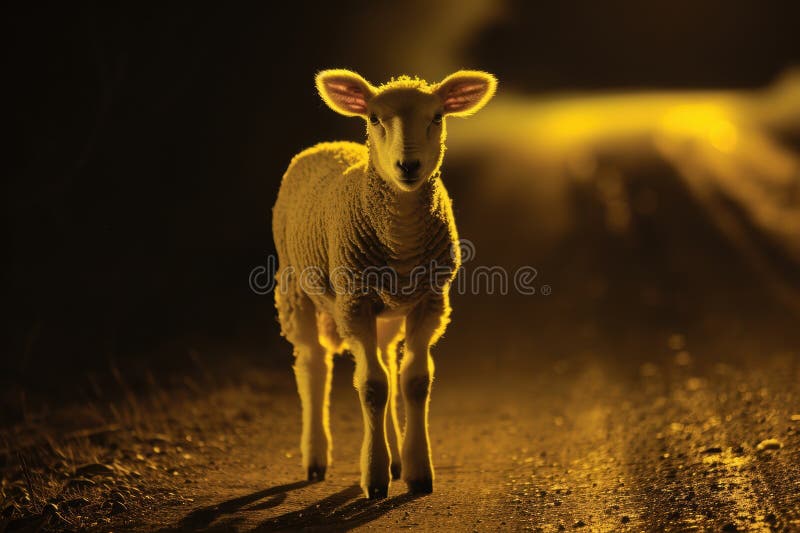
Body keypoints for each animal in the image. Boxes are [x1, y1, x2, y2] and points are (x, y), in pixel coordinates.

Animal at [272, 68, 496, 499]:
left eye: (437, 116)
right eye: (375, 118)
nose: (407, 165)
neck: (401, 236)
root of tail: (328, 144)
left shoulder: (431, 300)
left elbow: (414, 381)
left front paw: (417, 471)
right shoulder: (354, 300)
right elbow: (373, 386)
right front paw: (374, 478)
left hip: (388, 310)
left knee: (389, 363)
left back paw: (394, 458)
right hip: (294, 288)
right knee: (313, 364)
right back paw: (316, 457)